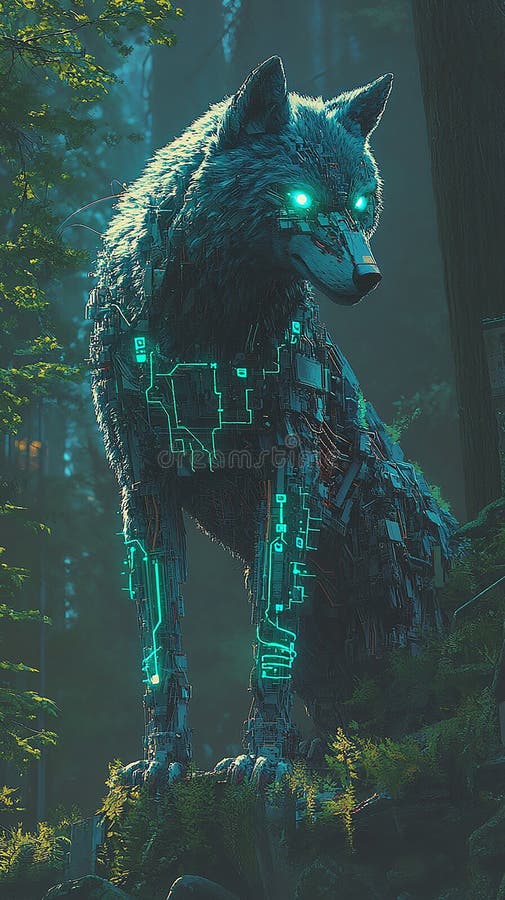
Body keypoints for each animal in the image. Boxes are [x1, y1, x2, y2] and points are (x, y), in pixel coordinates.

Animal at [88, 56, 455, 787]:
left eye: (362, 207)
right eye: (304, 203)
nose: (370, 276)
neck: (202, 328)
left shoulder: (286, 472)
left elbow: (268, 630)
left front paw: (262, 755)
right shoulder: (143, 484)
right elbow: (162, 646)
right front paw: (164, 762)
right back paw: (315, 748)